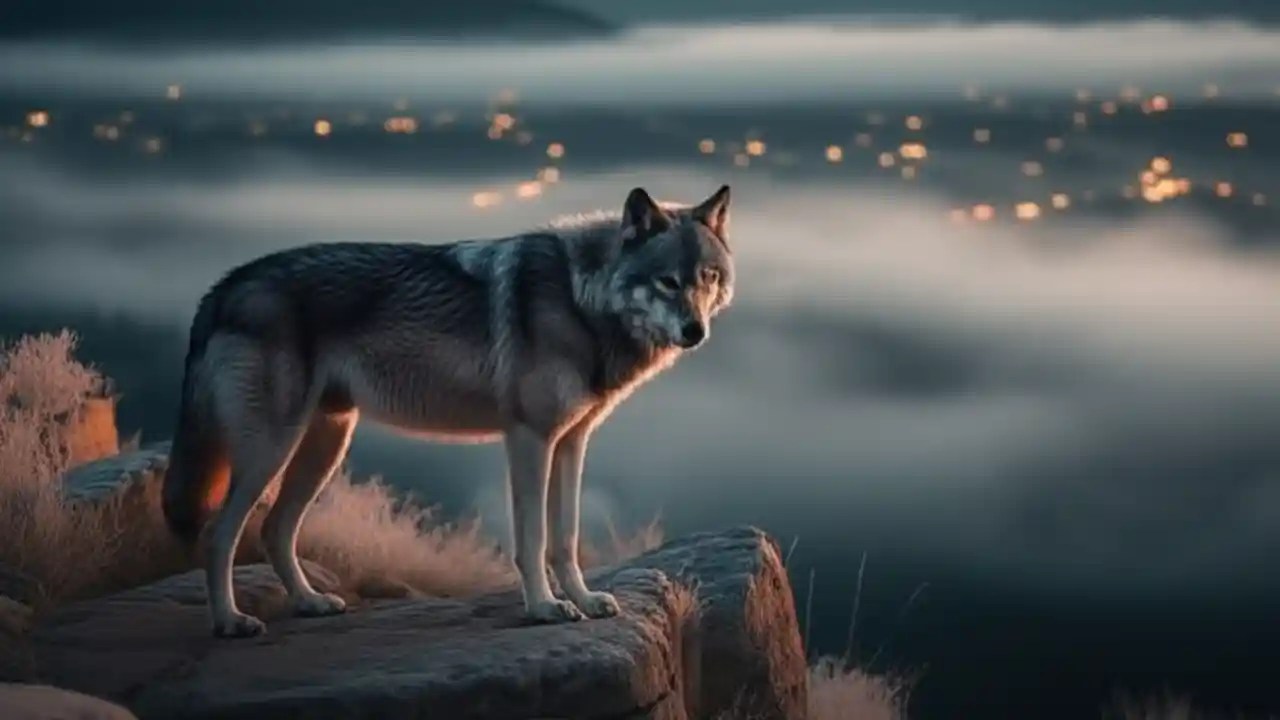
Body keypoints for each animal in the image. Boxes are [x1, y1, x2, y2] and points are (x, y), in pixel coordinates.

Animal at [160, 185, 735, 637]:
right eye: (668, 281)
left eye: (708, 277)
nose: (695, 332)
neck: (581, 298)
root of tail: (223, 286)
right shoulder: (529, 439)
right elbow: (532, 539)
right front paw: (544, 607)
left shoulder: (571, 443)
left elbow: (566, 538)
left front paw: (584, 600)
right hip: (271, 450)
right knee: (220, 535)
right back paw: (230, 622)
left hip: (325, 444)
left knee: (275, 530)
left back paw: (309, 603)